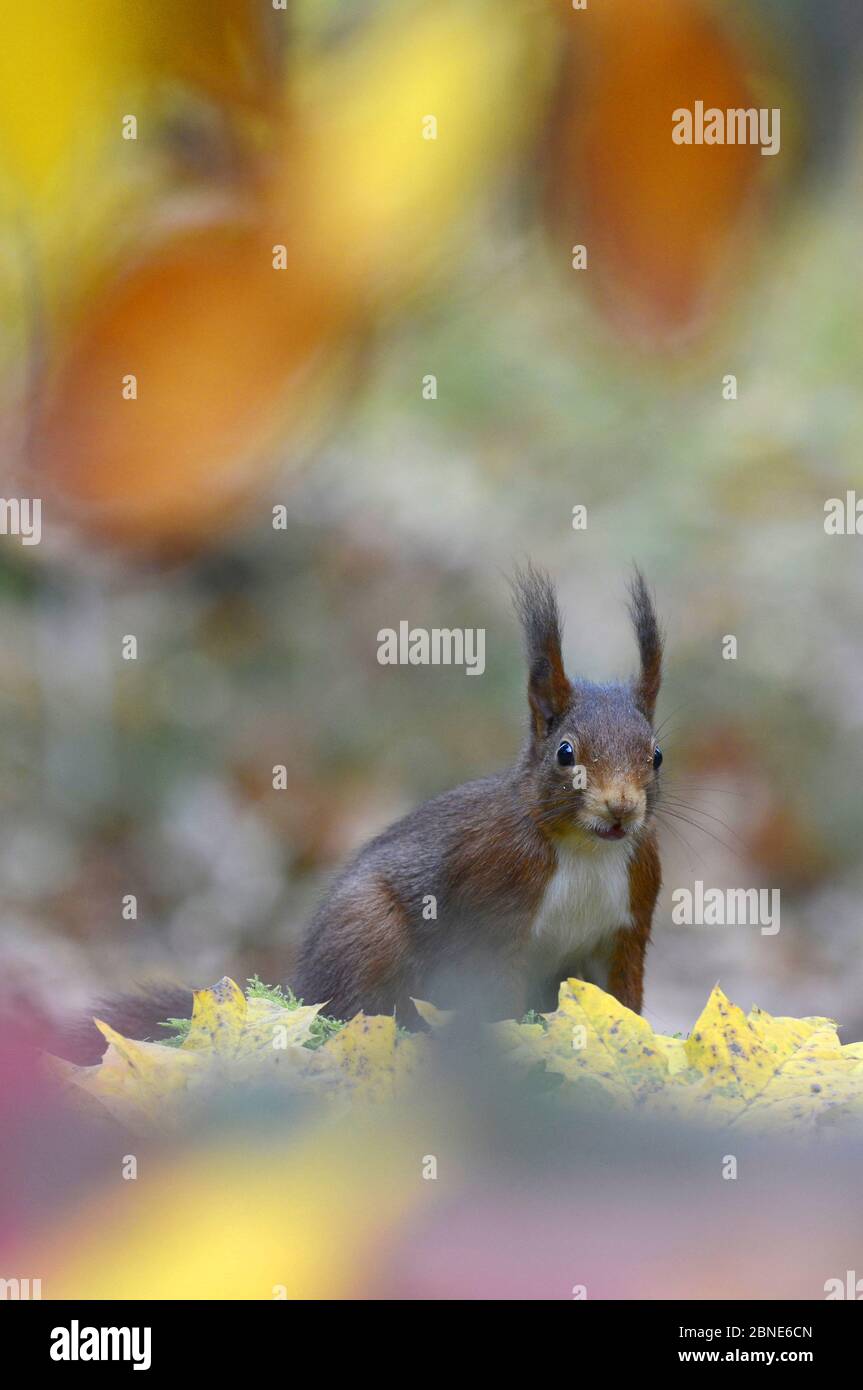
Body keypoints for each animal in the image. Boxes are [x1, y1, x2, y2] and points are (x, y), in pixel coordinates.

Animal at [64, 566, 663, 1061]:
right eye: (565, 753)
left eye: (655, 755)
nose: (621, 808)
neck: (586, 847)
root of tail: (302, 988)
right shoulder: (495, 896)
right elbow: (498, 992)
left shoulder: (629, 918)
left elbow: (620, 997)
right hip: (367, 929)